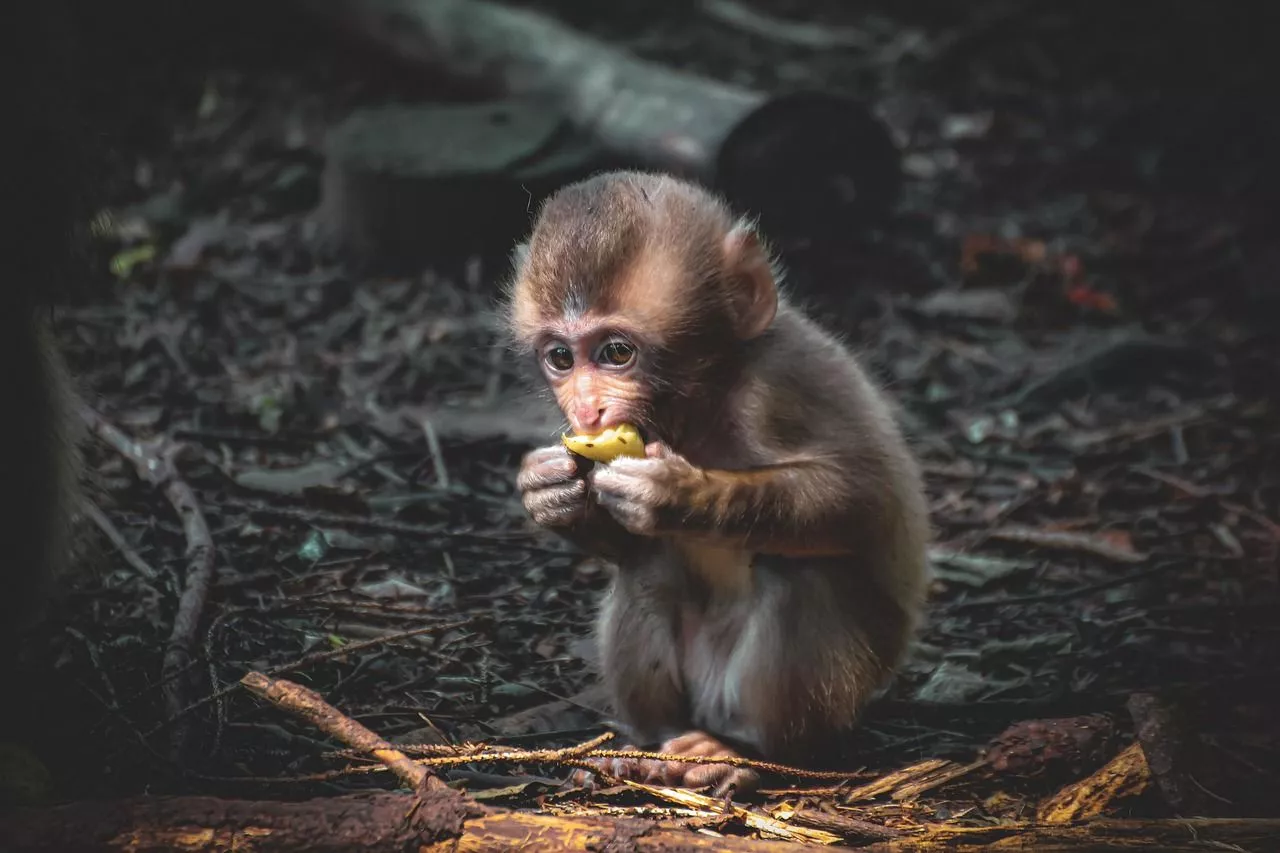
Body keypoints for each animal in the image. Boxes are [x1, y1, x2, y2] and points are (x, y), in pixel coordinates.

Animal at [505, 171, 931, 795]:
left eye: (616, 353)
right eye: (561, 357)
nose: (586, 411)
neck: (699, 405)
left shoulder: (777, 386)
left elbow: (866, 501)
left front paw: (680, 495)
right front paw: (550, 493)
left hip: (832, 697)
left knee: (796, 571)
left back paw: (749, 755)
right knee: (649, 572)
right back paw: (654, 747)